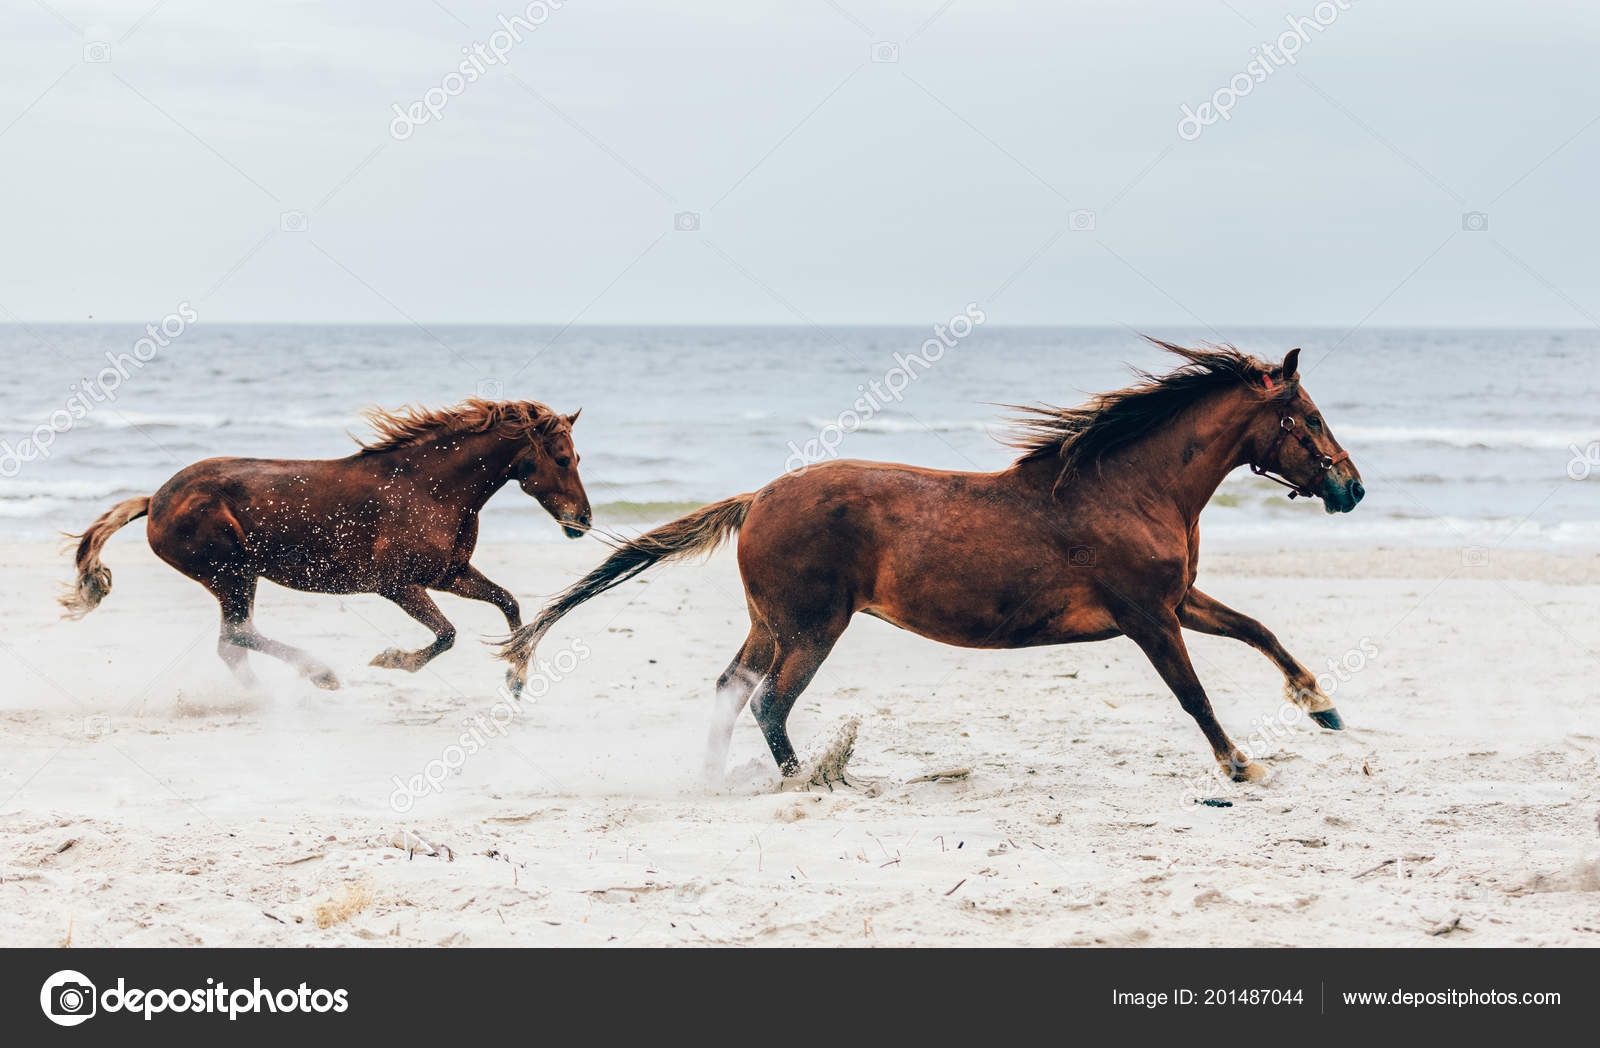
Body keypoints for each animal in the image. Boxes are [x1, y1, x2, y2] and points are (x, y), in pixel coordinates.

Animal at [61, 398, 590, 691]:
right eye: (564, 458)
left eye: (577, 457)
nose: (583, 521)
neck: (429, 487)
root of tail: (155, 500)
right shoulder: (397, 585)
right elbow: (447, 635)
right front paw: (391, 661)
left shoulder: (447, 575)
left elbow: (509, 603)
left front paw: (516, 677)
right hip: (231, 574)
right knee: (238, 637)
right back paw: (318, 676)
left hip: (236, 578)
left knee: (232, 644)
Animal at [499, 341, 1363, 784]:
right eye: (1312, 417)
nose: (1351, 488)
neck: (1127, 487)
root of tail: (759, 497)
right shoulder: (1148, 616)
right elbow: (1193, 693)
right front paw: (1240, 764)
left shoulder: (1178, 600)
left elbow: (1258, 630)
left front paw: (1321, 705)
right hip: (813, 628)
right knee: (771, 702)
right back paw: (807, 780)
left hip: (770, 624)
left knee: (731, 689)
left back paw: (714, 779)